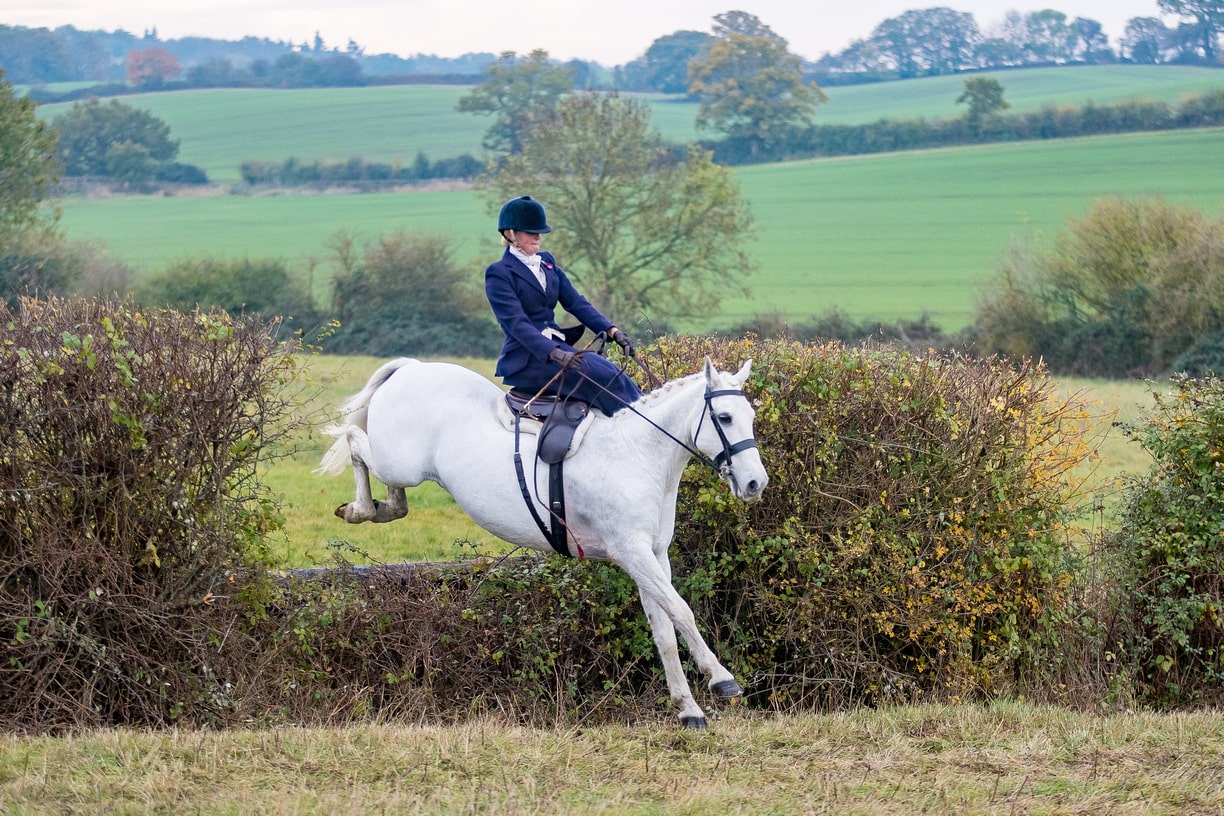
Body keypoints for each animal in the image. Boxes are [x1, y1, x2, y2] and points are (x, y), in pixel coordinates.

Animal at [317, 356, 768, 728]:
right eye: (724, 417)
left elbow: (664, 630)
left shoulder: (654, 556)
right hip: (400, 461)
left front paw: (688, 709)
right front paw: (721, 680)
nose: (755, 484)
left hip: (402, 467)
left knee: (393, 497)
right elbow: (682, 612)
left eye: (750, 416)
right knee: (356, 440)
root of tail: (413, 368)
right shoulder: (632, 553)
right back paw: (358, 508)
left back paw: (373, 508)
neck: (638, 455)